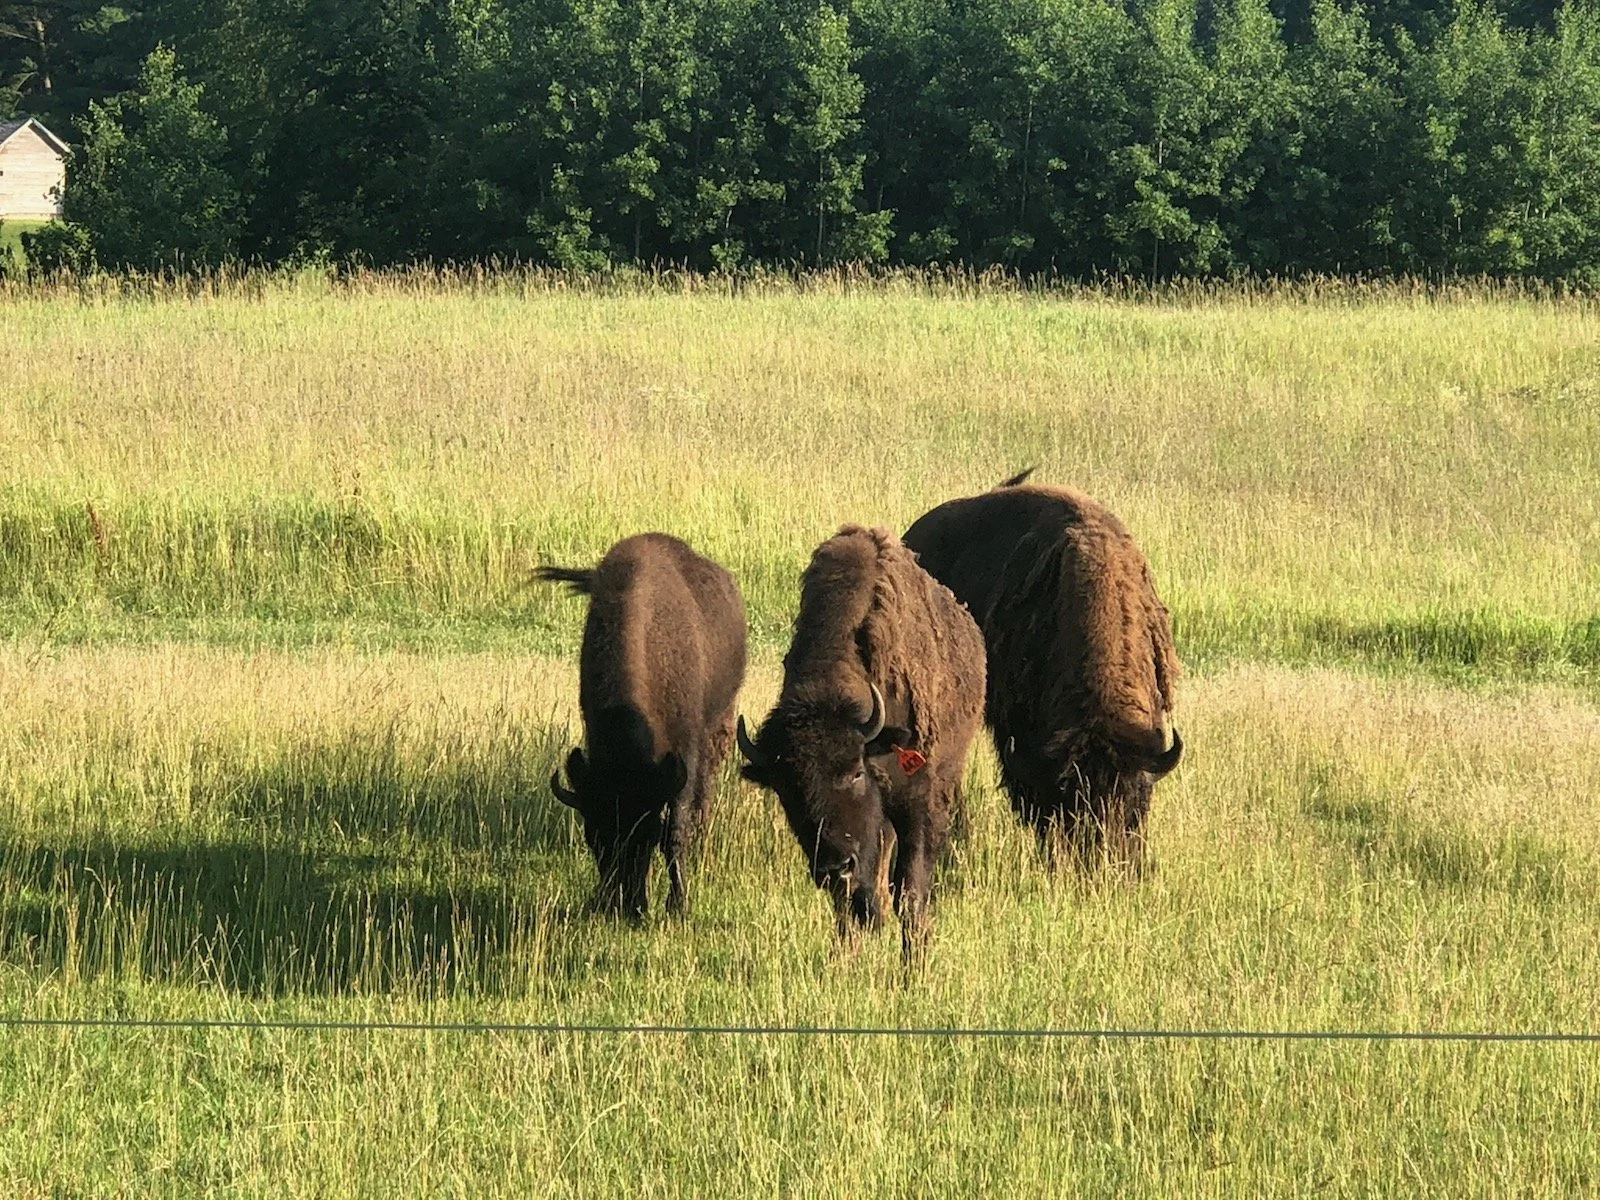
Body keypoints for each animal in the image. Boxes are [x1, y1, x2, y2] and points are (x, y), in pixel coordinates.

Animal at [540, 533, 747, 918]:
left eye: (647, 833)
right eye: (593, 835)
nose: (626, 907)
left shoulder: (683, 758)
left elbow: (676, 829)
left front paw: (678, 906)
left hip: (719, 725)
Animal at [737, 525, 985, 960]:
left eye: (855, 772)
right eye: (788, 791)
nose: (836, 867)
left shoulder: (918, 803)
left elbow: (912, 890)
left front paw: (914, 964)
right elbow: (851, 902)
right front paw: (846, 957)